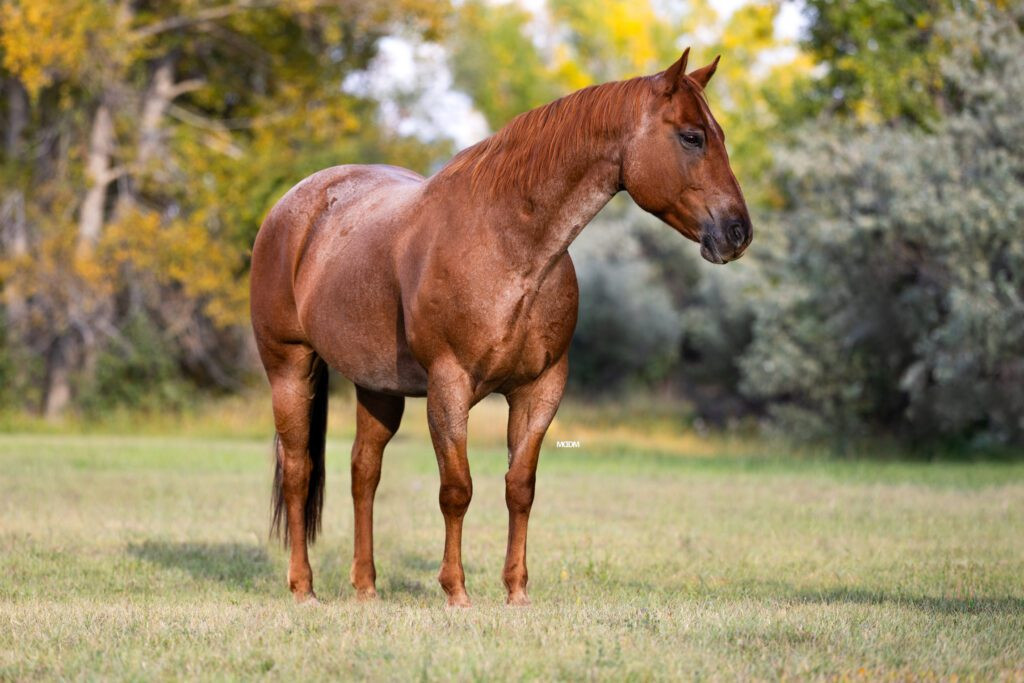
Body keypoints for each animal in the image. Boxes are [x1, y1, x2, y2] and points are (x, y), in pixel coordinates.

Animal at [249, 48, 752, 607]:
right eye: (691, 137)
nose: (737, 232)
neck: (509, 246)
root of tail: (297, 202)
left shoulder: (541, 388)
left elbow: (520, 487)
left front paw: (516, 591)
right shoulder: (449, 384)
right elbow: (457, 489)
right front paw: (456, 591)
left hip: (377, 386)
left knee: (364, 472)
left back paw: (366, 588)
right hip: (289, 368)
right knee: (298, 471)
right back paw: (303, 587)